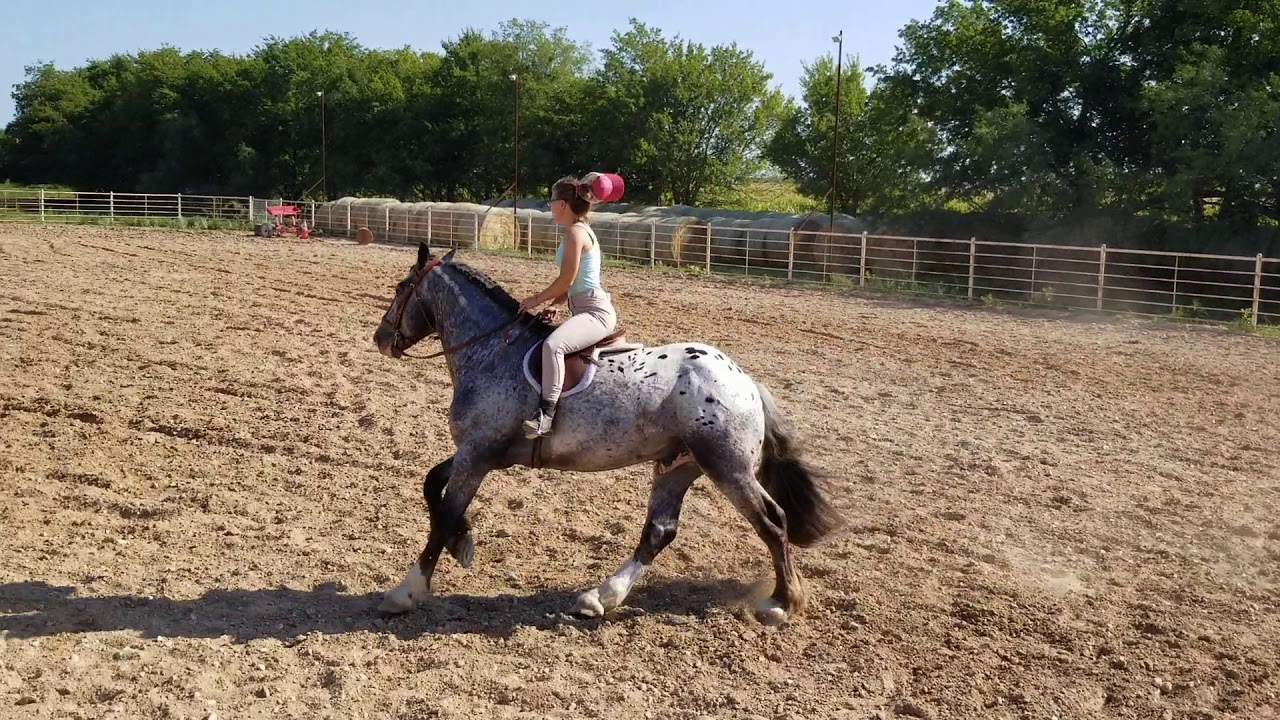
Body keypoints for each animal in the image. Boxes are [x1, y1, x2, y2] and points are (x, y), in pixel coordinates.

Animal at [371, 243, 844, 626]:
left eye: (399, 287)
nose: (380, 339)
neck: (490, 350)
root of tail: (746, 381)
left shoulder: (478, 452)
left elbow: (446, 510)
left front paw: (408, 590)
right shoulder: (482, 450)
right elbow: (432, 483)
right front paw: (462, 543)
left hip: (728, 468)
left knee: (772, 521)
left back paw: (782, 603)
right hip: (678, 466)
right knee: (659, 531)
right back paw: (600, 598)